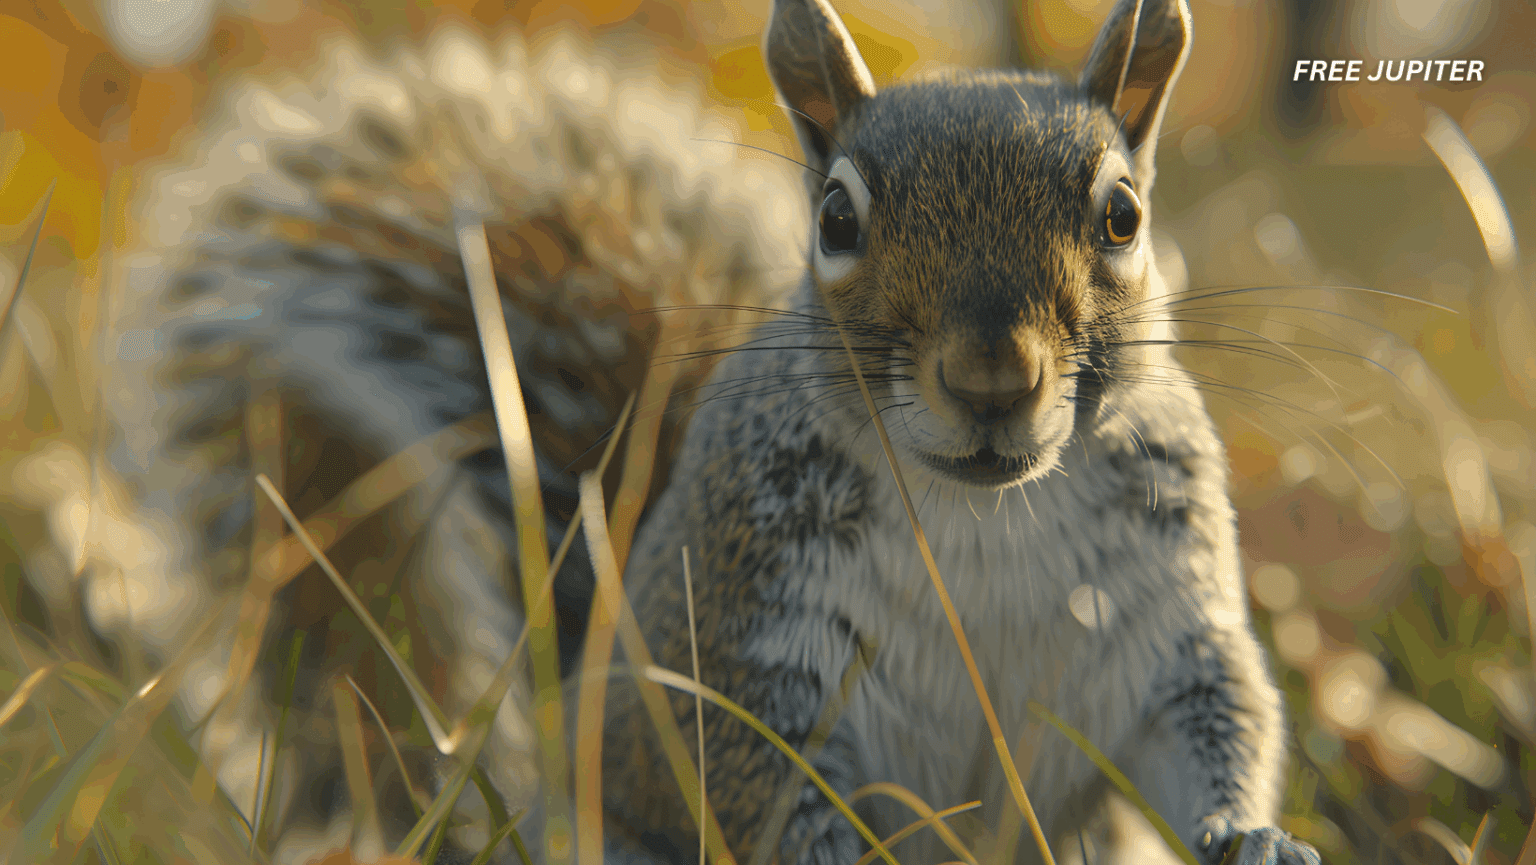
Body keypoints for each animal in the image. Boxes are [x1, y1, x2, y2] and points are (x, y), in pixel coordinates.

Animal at [98, 0, 1324, 863]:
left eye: (1122, 216)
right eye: (835, 218)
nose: (991, 379)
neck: (984, 512)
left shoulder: (1162, 626)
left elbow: (1218, 720)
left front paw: (1251, 836)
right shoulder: (744, 644)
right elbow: (755, 785)